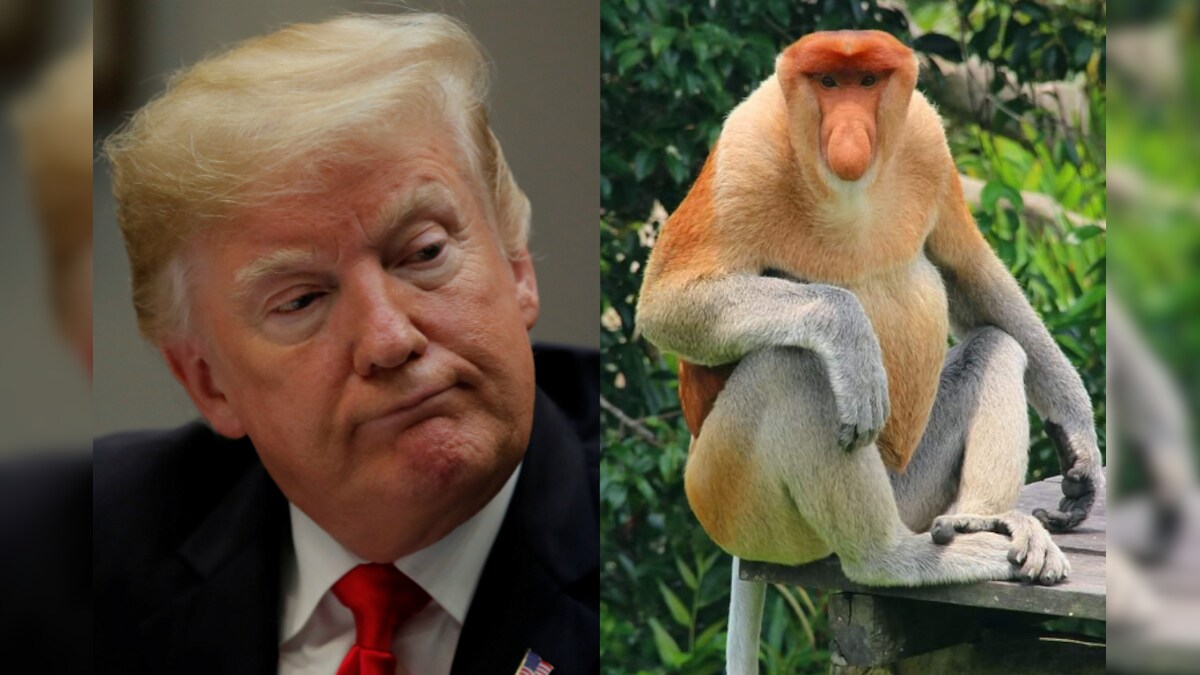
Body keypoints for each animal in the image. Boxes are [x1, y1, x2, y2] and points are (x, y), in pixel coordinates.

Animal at [634, 30, 1105, 673]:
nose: (850, 128)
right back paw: (893, 559)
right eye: (828, 83)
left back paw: (983, 521)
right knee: (795, 368)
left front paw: (1078, 440)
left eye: (868, 82)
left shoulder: (927, 137)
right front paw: (848, 332)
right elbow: (666, 303)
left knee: (996, 345)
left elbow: (969, 274)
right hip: (733, 500)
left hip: (909, 487)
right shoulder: (744, 153)